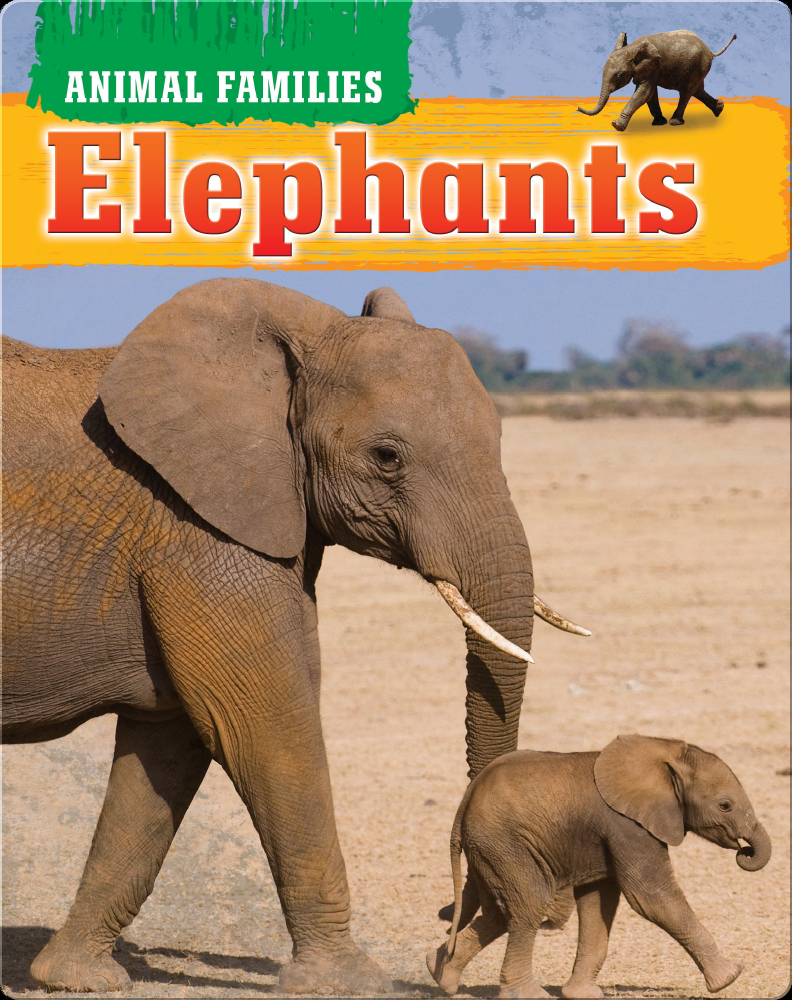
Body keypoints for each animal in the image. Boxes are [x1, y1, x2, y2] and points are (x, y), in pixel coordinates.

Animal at [1, 278, 590, 995]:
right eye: (386, 458)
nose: (442, 942)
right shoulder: (199, 533)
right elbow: (264, 727)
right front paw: (354, 983)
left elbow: (169, 744)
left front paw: (77, 979)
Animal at [427, 734, 771, 999]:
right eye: (725, 805)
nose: (744, 850)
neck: (665, 751)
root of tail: (465, 801)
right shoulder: (627, 824)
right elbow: (649, 895)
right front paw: (730, 976)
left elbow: (598, 900)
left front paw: (582, 995)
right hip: (503, 843)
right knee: (529, 902)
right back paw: (526, 994)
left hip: (489, 850)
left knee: (499, 912)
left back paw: (440, 973)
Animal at [578, 30, 736, 132]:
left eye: (618, 76)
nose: (578, 108)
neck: (632, 48)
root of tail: (710, 51)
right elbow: (650, 94)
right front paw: (658, 124)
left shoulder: (654, 65)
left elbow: (644, 92)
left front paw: (616, 126)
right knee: (697, 90)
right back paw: (719, 108)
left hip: (699, 65)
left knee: (686, 92)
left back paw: (675, 122)